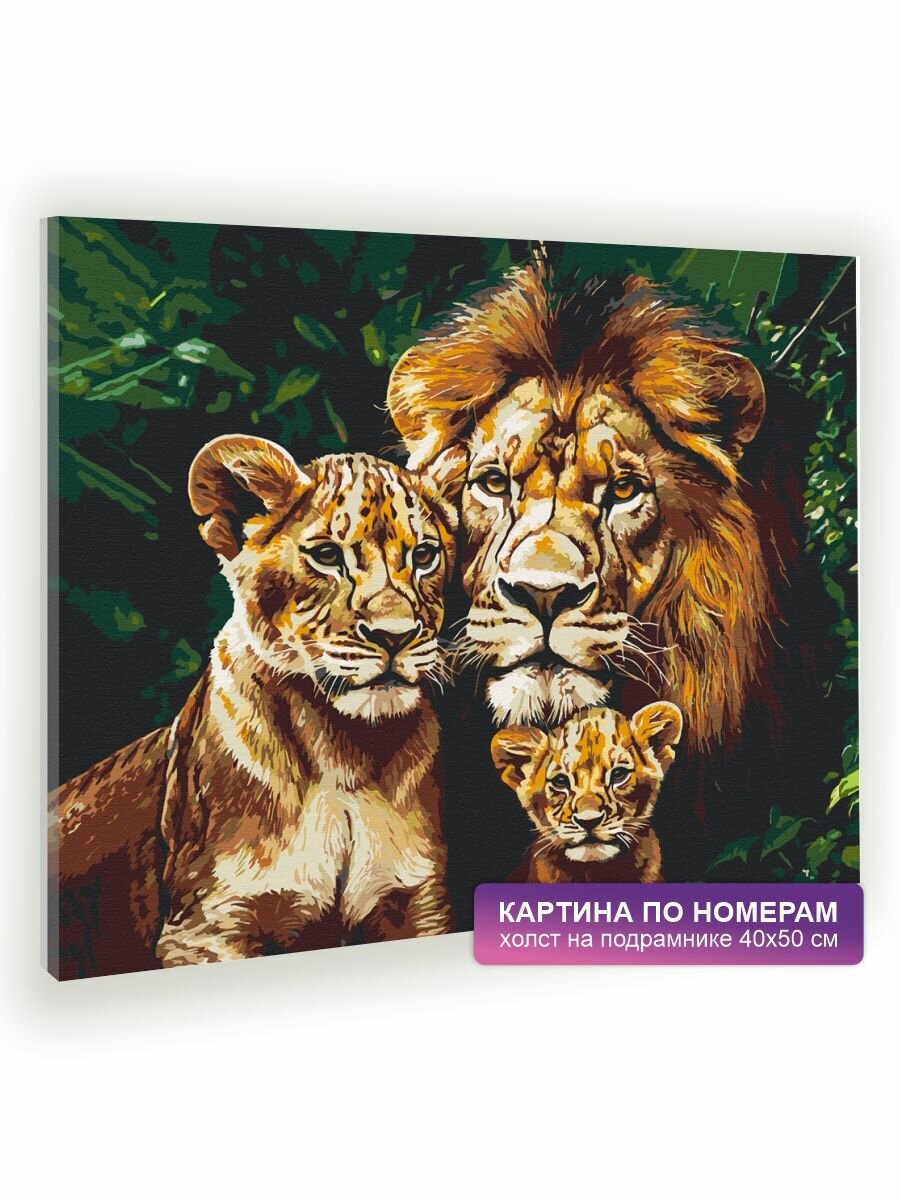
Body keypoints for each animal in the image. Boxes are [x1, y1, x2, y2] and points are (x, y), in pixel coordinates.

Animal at [50, 437, 457, 977]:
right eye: (327, 555)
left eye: (425, 555)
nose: (396, 636)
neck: (345, 754)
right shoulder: (207, 924)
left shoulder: (418, 903)